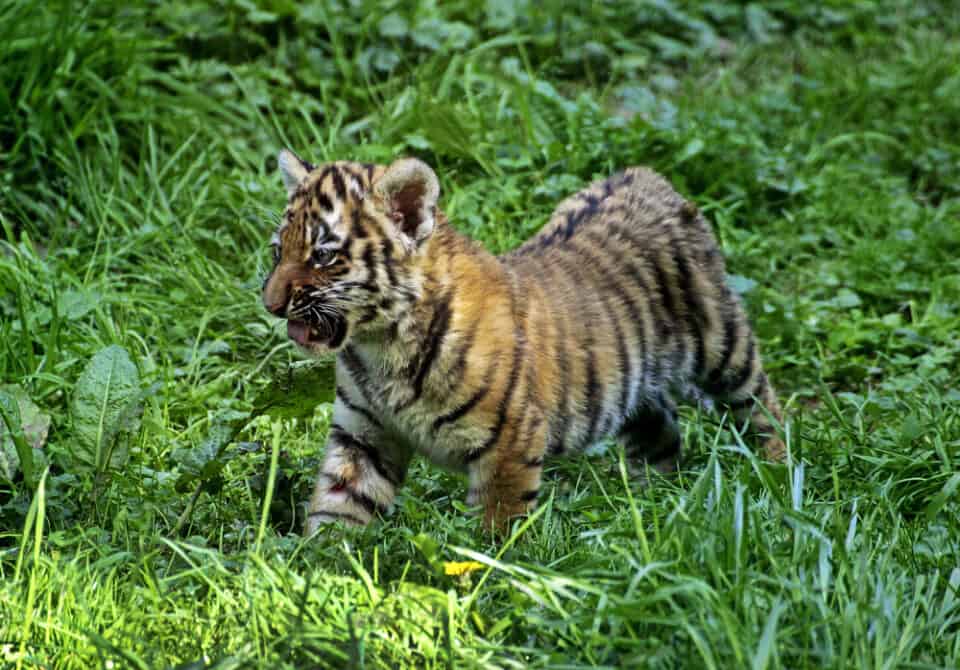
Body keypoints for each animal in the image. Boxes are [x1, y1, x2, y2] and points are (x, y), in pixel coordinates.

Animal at [261, 150, 785, 535]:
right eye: (278, 250)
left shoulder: (510, 441)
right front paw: (316, 573)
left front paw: (486, 586)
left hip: (720, 343)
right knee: (661, 431)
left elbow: (496, 525)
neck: (381, 344)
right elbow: (339, 505)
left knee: (761, 403)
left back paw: (777, 475)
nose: (270, 305)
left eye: (323, 255)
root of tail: (648, 175)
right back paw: (654, 503)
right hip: (633, 386)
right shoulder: (363, 433)